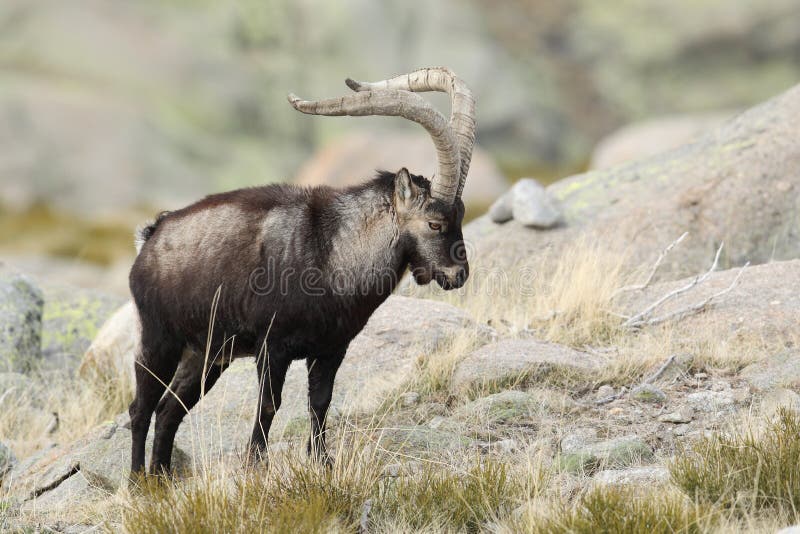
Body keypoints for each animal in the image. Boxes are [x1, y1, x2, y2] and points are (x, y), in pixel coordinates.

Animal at [128, 67, 476, 476]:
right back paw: (136, 481)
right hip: (160, 338)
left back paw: (161, 479)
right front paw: (256, 467)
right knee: (141, 409)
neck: (333, 253)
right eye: (435, 223)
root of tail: (151, 236)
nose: (458, 274)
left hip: (208, 354)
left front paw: (322, 464)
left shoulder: (330, 349)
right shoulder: (272, 348)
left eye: (461, 214)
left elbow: (320, 403)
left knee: (170, 409)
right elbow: (269, 406)